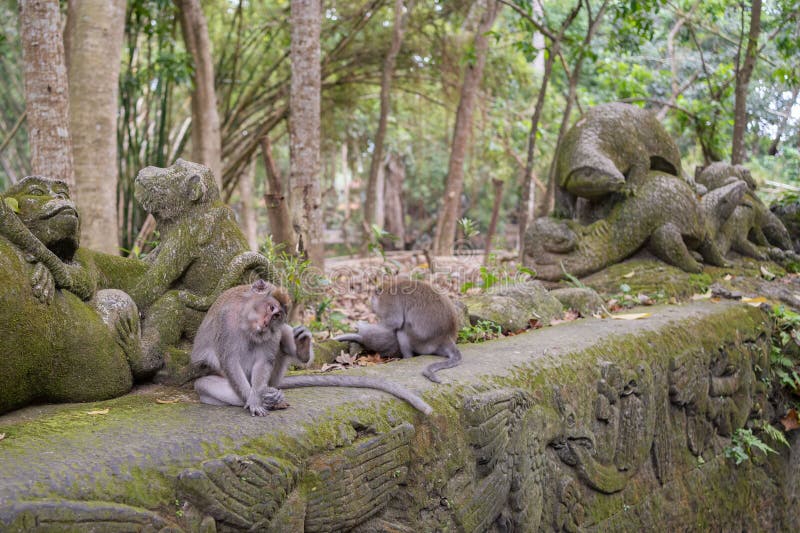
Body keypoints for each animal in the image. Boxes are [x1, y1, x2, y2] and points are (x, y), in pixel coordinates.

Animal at [192, 280, 433, 416]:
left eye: (276, 315)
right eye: (270, 308)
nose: (267, 322)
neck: (244, 318)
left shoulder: (272, 330)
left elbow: (264, 358)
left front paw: (259, 395)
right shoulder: (226, 320)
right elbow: (230, 361)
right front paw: (254, 400)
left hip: (275, 372)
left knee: (283, 338)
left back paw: (298, 353)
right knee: (205, 384)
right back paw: (270, 397)